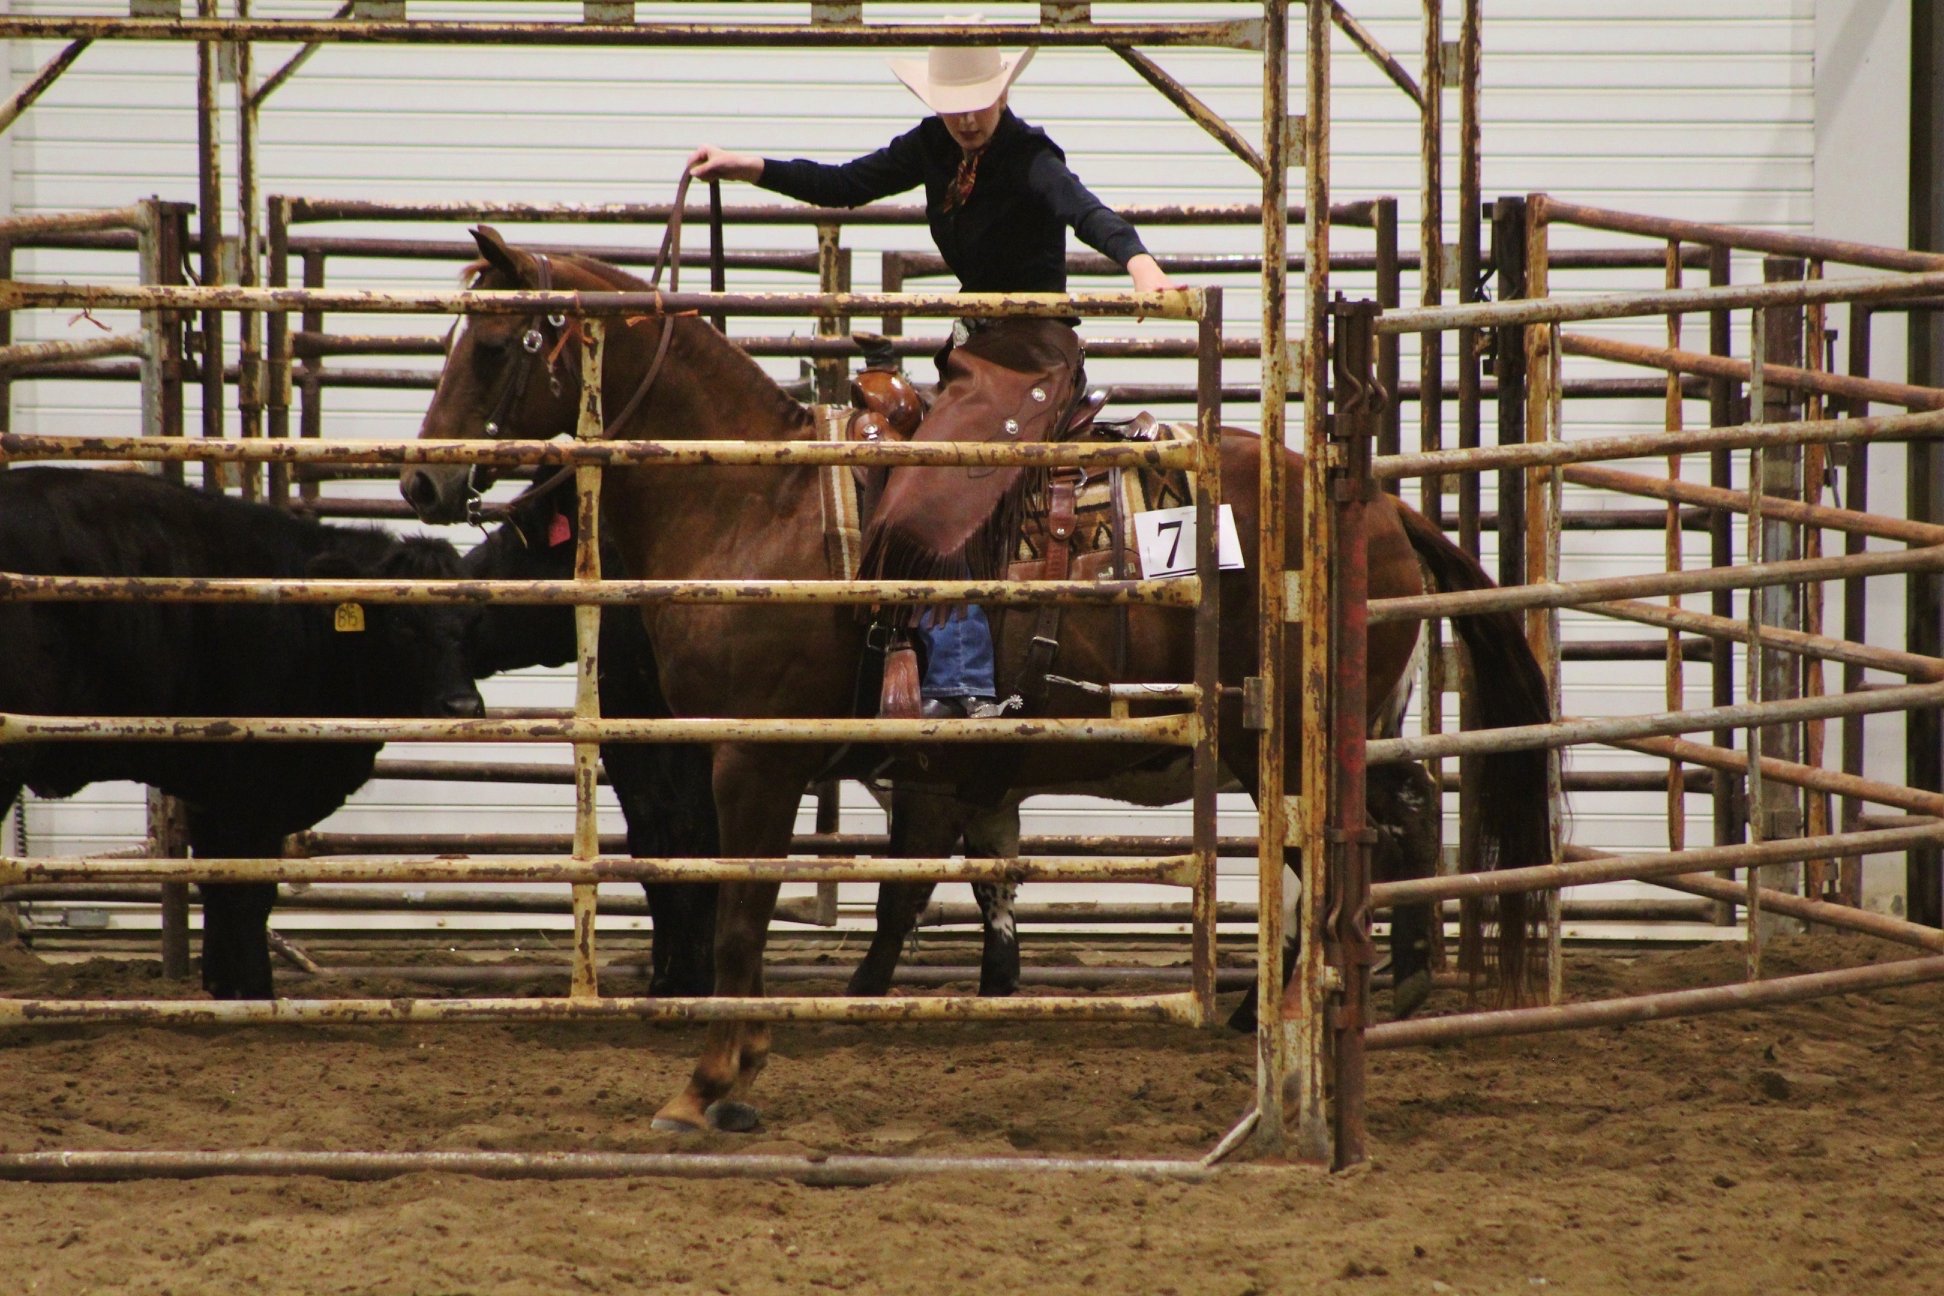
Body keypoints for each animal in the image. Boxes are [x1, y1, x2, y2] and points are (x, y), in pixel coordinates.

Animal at [402, 228, 1551, 1134]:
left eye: (494, 345)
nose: (420, 478)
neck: (752, 500)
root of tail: (1380, 504)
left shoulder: (752, 760)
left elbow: (743, 913)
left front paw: (711, 1081)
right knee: (1388, 819)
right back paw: (1335, 993)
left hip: (1284, 741)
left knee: (1369, 833)